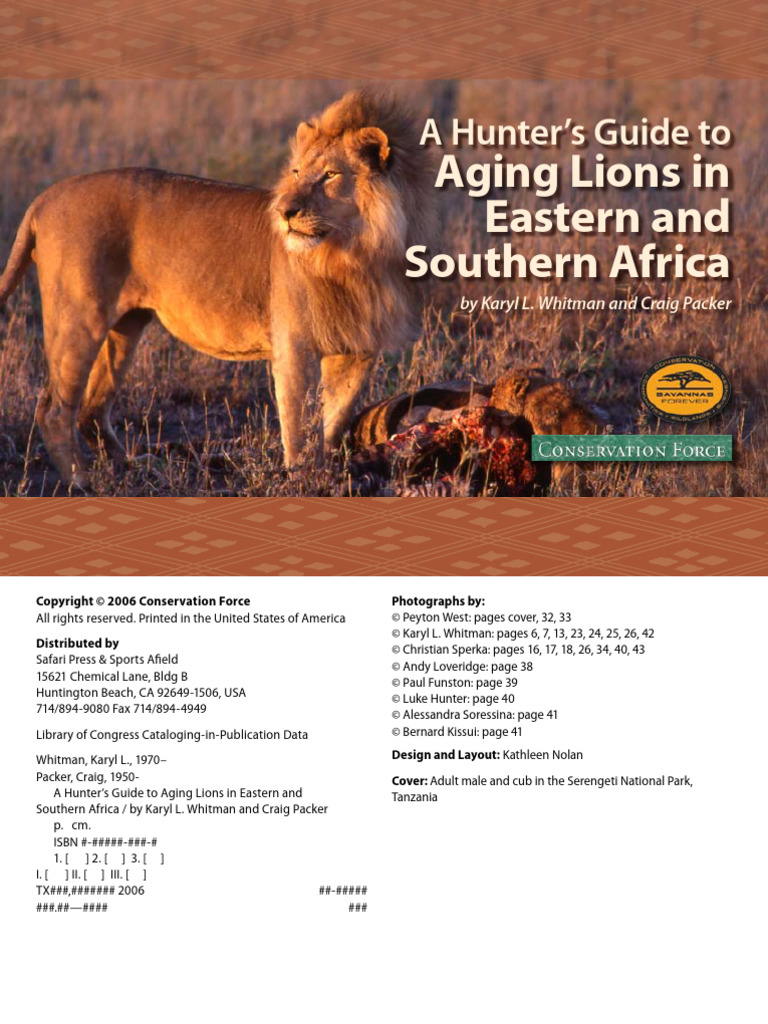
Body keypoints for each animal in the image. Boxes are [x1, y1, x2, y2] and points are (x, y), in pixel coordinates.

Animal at [0, 89, 434, 489]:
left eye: (330, 175)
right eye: (295, 173)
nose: (284, 212)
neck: (353, 255)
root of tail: (44, 197)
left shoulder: (358, 350)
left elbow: (333, 418)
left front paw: (325, 474)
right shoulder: (294, 343)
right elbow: (297, 421)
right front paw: (302, 479)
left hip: (127, 325)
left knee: (92, 408)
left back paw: (134, 467)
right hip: (78, 317)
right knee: (55, 408)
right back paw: (81, 479)